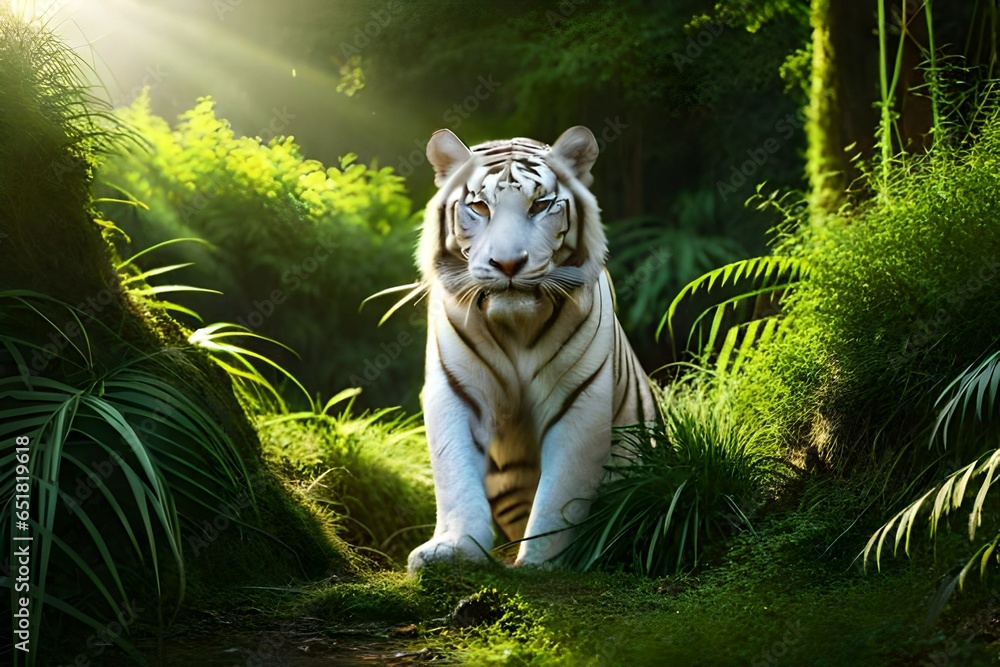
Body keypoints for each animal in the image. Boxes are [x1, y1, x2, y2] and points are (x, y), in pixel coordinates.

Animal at [407, 125, 658, 573]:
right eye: (479, 207)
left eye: (540, 205)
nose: (508, 264)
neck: (516, 329)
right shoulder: (455, 390)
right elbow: (454, 472)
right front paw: (453, 549)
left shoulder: (580, 398)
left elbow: (561, 494)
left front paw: (542, 564)